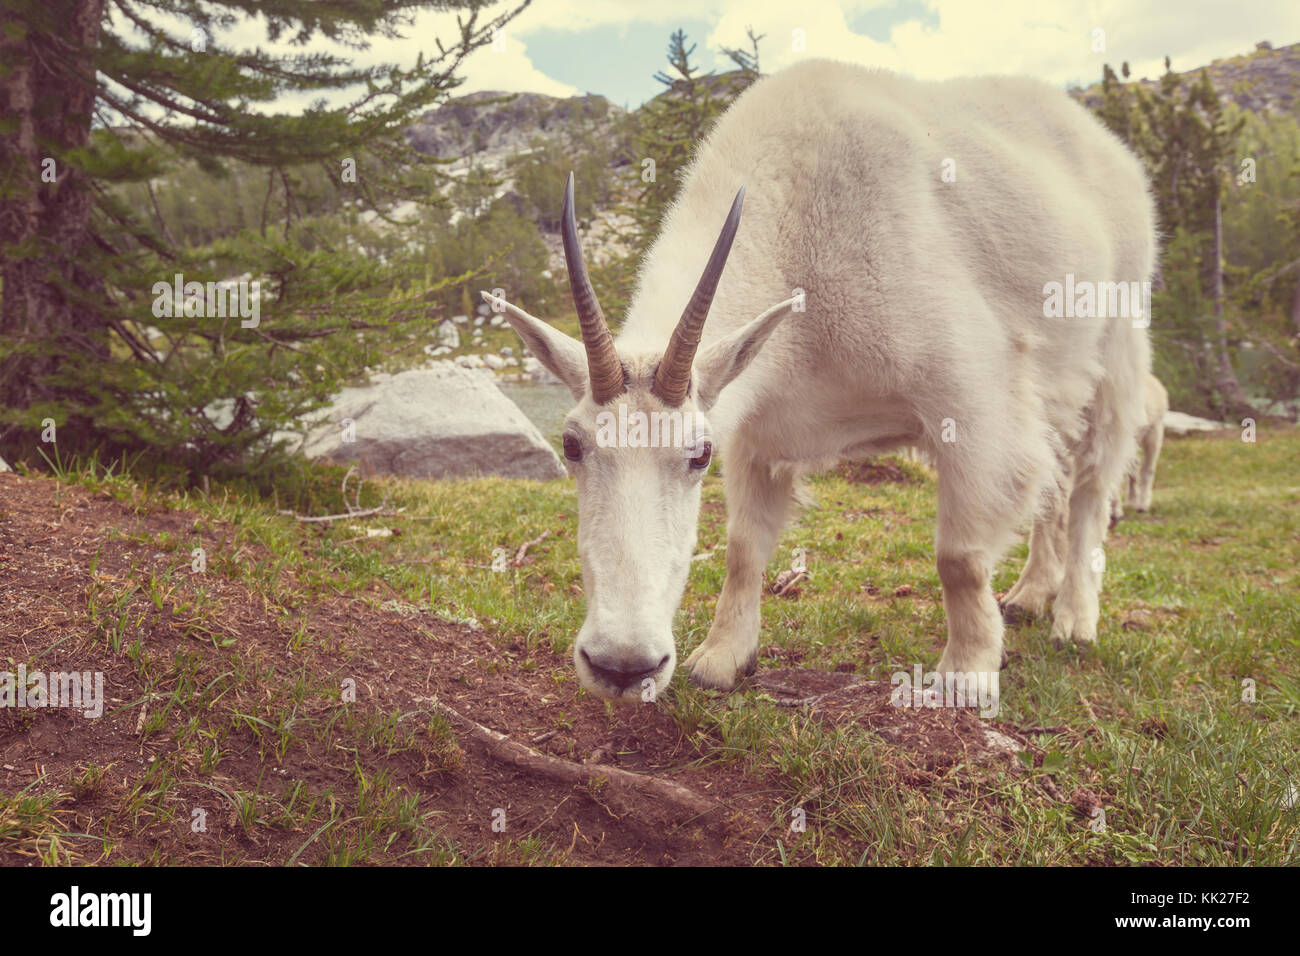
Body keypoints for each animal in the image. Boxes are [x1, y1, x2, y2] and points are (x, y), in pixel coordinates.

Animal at [486, 59, 1155, 701]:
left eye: (700, 454)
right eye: (571, 445)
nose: (623, 665)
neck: (801, 234)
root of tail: (1113, 150)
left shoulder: (974, 395)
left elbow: (959, 557)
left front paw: (966, 674)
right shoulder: (758, 428)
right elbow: (743, 548)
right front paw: (721, 659)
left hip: (1118, 347)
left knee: (1091, 487)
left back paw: (1074, 618)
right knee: (1057, 481)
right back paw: (1030, 595)